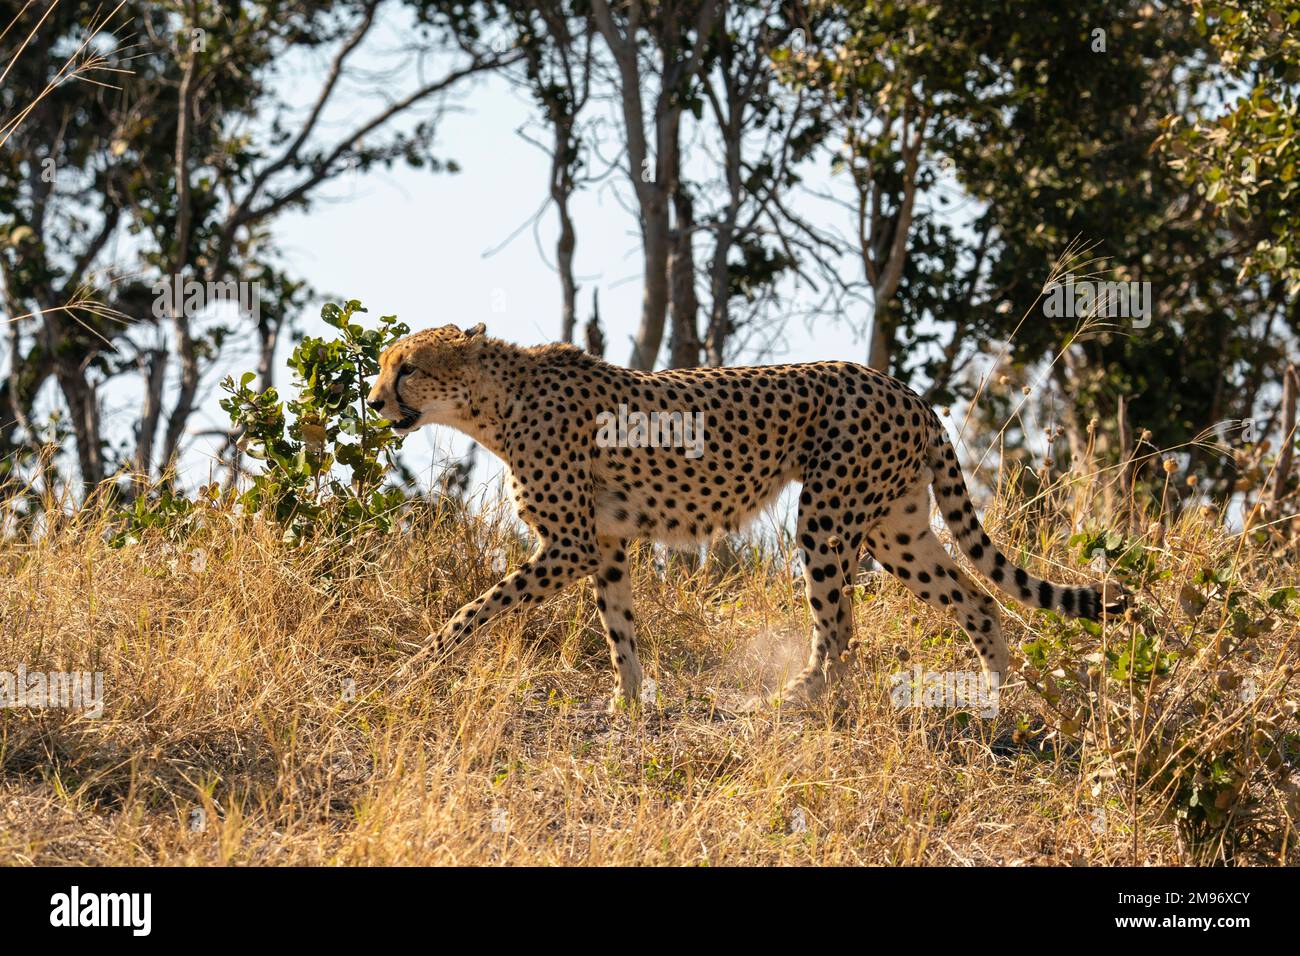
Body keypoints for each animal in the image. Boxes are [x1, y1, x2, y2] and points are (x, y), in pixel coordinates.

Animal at [367, 322, 1125, 710]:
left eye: (408, 367)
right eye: (384, 365)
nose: (374, 402)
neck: (494, 403)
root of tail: (903, 389)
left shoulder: (572, 543)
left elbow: (477, 608)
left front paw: (415, 668)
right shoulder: (605, 545)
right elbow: (619, 627)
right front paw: (631, 702)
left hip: (828, 516)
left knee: (840, 624)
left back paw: (803, 695)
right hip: (898, 529)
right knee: (977, 599)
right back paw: (995, 694)